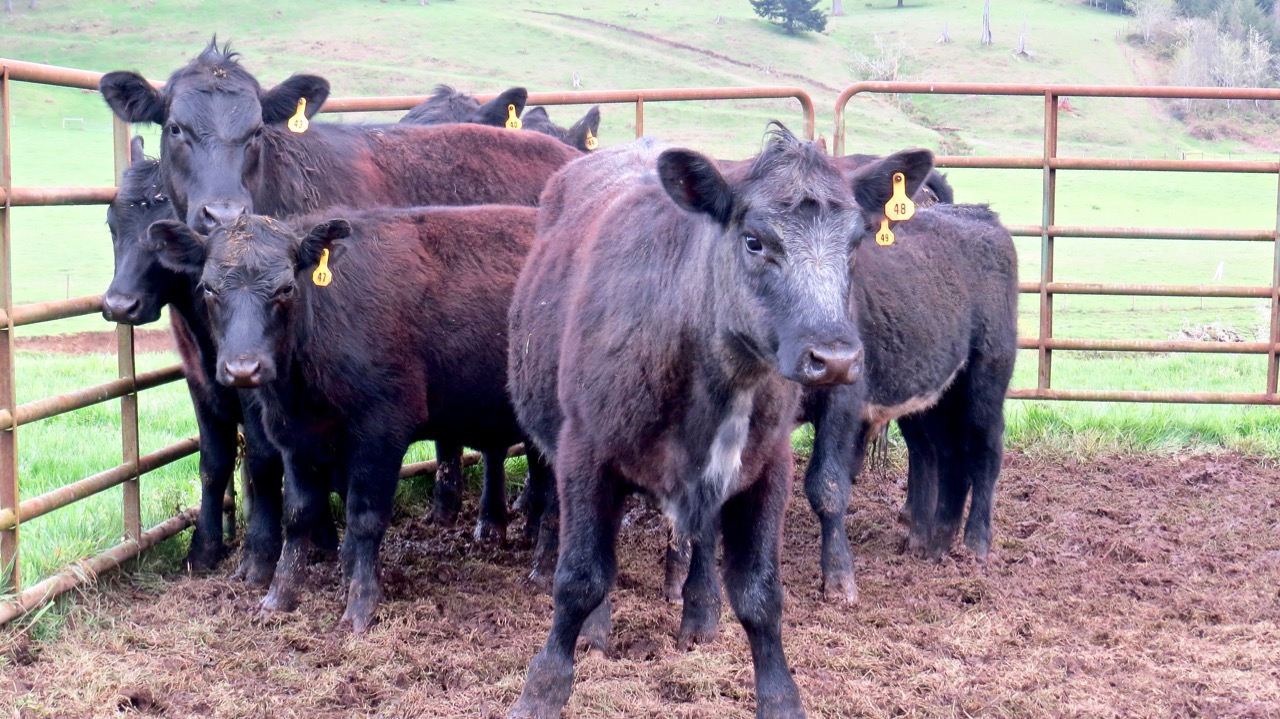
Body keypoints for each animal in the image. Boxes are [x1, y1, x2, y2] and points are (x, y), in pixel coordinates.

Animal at [148, 205, 547, 633]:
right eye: (208, 288)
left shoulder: (382, 432)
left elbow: (365, 517)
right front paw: (279, 596)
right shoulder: (297, 437)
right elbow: (297, 514)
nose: (243, 369)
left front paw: (361, 603)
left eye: (286, 288)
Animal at [505, 124, 933, 719]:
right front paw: (542, 688)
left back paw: (701, 613)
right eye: (754, 241)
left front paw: (781, 698)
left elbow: (759, 592)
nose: (836, 359)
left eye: (855, 243)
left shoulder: (766, 465)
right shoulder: (583, 453)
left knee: (703, 540)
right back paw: (599, 629)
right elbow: (579, 577)